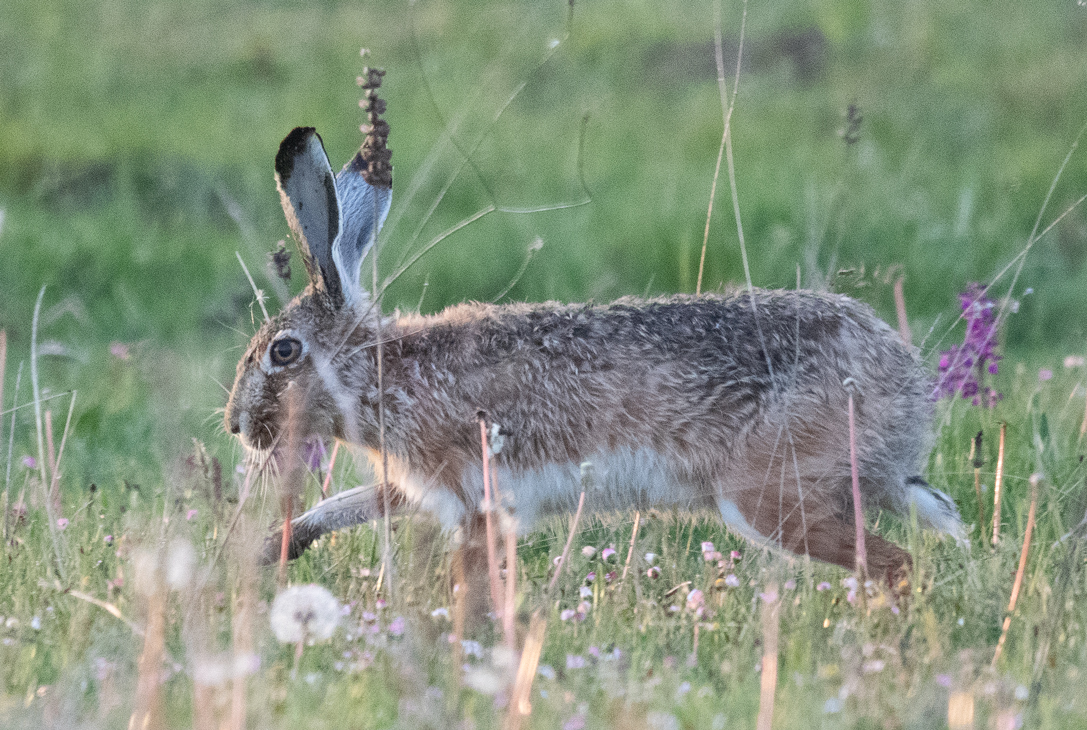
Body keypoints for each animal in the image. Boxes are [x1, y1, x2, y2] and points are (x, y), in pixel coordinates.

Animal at [224, 125, 964, 590]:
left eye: (283, 353)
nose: (235, 425)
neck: (379, 371)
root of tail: (903, 384)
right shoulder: (423, 487)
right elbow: (355, 501)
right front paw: (275, 546)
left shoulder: (474, 493)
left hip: (768, 494)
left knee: (896, 564)